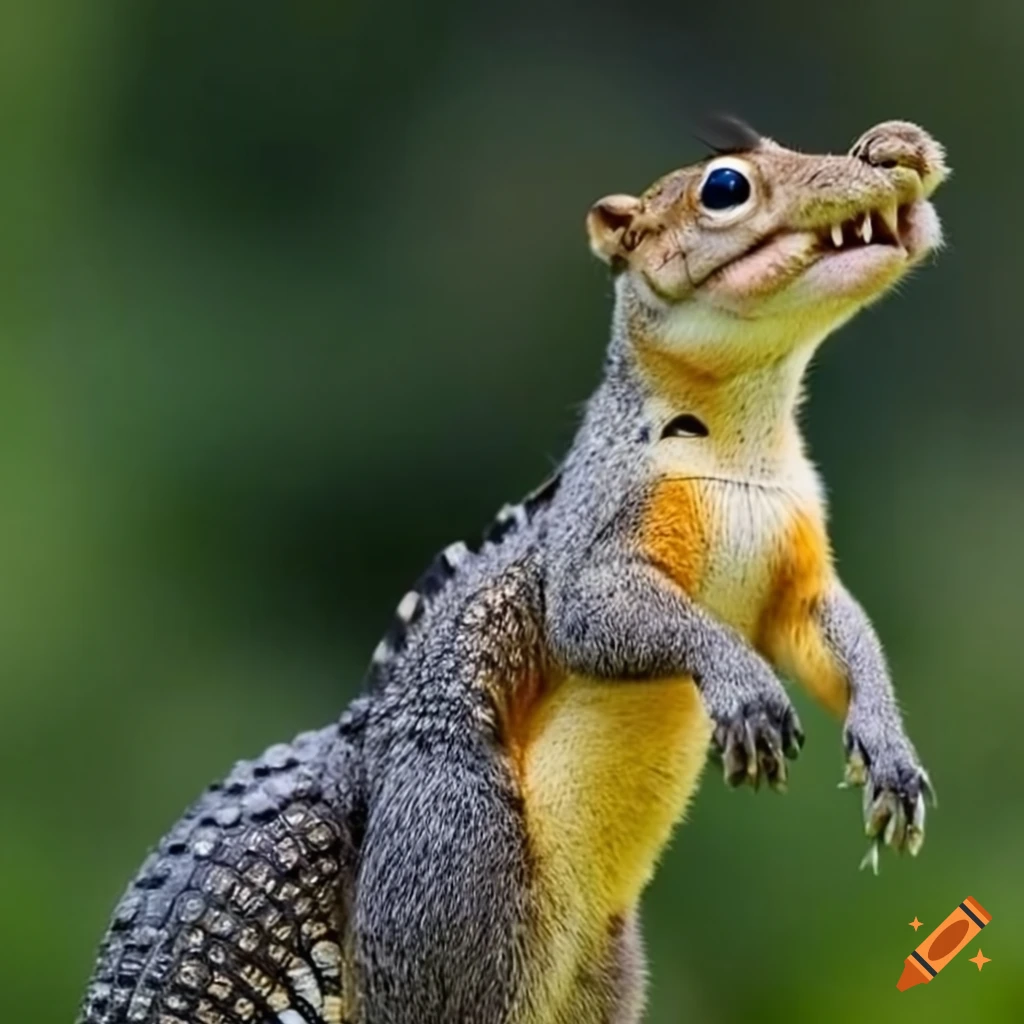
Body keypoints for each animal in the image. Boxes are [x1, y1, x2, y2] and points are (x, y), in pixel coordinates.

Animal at [77, 118, 947, 1024]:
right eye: (724, 187)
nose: (897, 148)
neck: (744, 443)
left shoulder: (797, 567)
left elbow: (833, 633)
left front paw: (889, 752)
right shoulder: (593, 534)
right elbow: (596, 616)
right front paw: (746, 695)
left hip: (601, 970)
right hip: (454, 871)